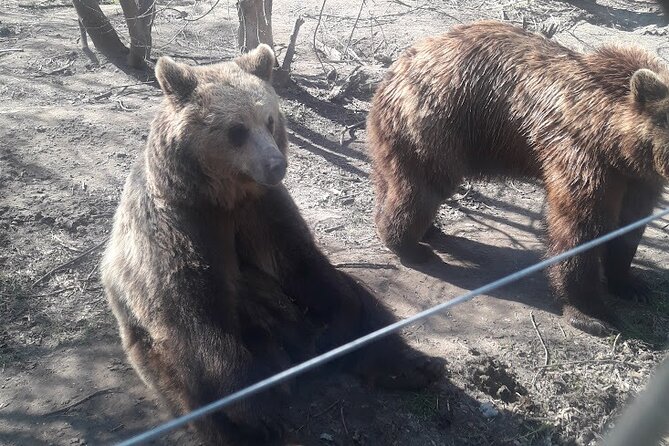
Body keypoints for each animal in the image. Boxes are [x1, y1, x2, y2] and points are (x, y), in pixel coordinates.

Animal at [100, 44, 440, 446]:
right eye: (237, 130)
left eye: (270, 120)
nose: (276, 165)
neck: (225, 196)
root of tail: (295, 355)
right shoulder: (183, 226)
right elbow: (195, 311)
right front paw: (257, 409)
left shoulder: (264, 211)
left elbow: (303, 265)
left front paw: (341, 325)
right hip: (153, 349)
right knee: (189, 389)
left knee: (368, 305)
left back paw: (411, 366)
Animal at [367, 20, 669, 336]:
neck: (615, 142)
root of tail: (393, 71)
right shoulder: (582, 155)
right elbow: (580, 226)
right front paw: (591, 313)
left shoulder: (637, 177)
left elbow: (630, 223)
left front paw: (632, 284)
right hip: (437, 123)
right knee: (421, 188)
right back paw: (411, 246)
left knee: (391, 180)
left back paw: (426, 231)